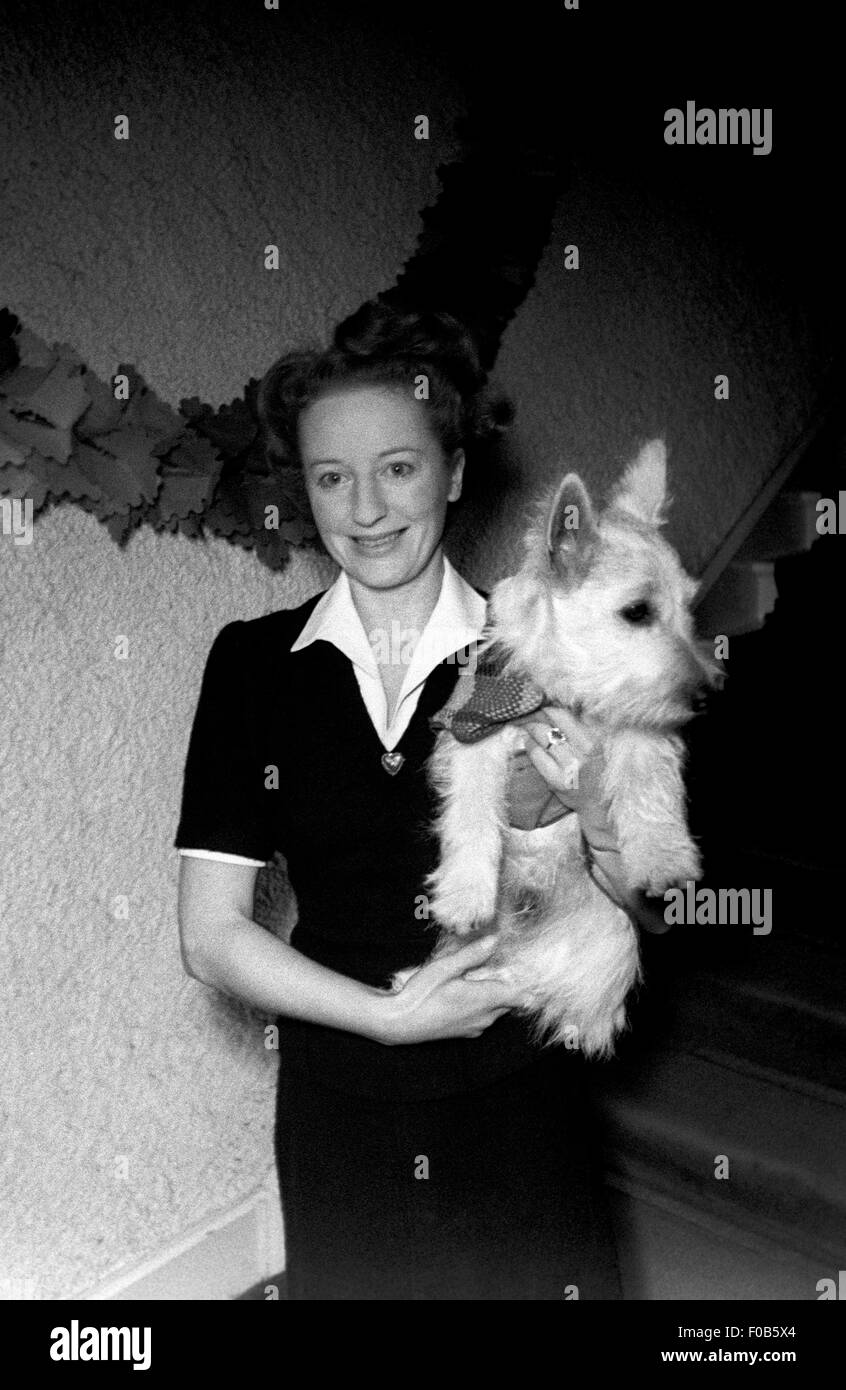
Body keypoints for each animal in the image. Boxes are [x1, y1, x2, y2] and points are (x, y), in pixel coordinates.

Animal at [408, 439, 716, 1056]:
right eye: (638, 612)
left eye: (690, 610)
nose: (707, 694)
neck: (565, 690)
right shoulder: (474, 730)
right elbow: (471, 815)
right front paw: (464, 893)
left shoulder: (641, 729)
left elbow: (648, 786)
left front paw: (663, 858)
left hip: (606, 948)